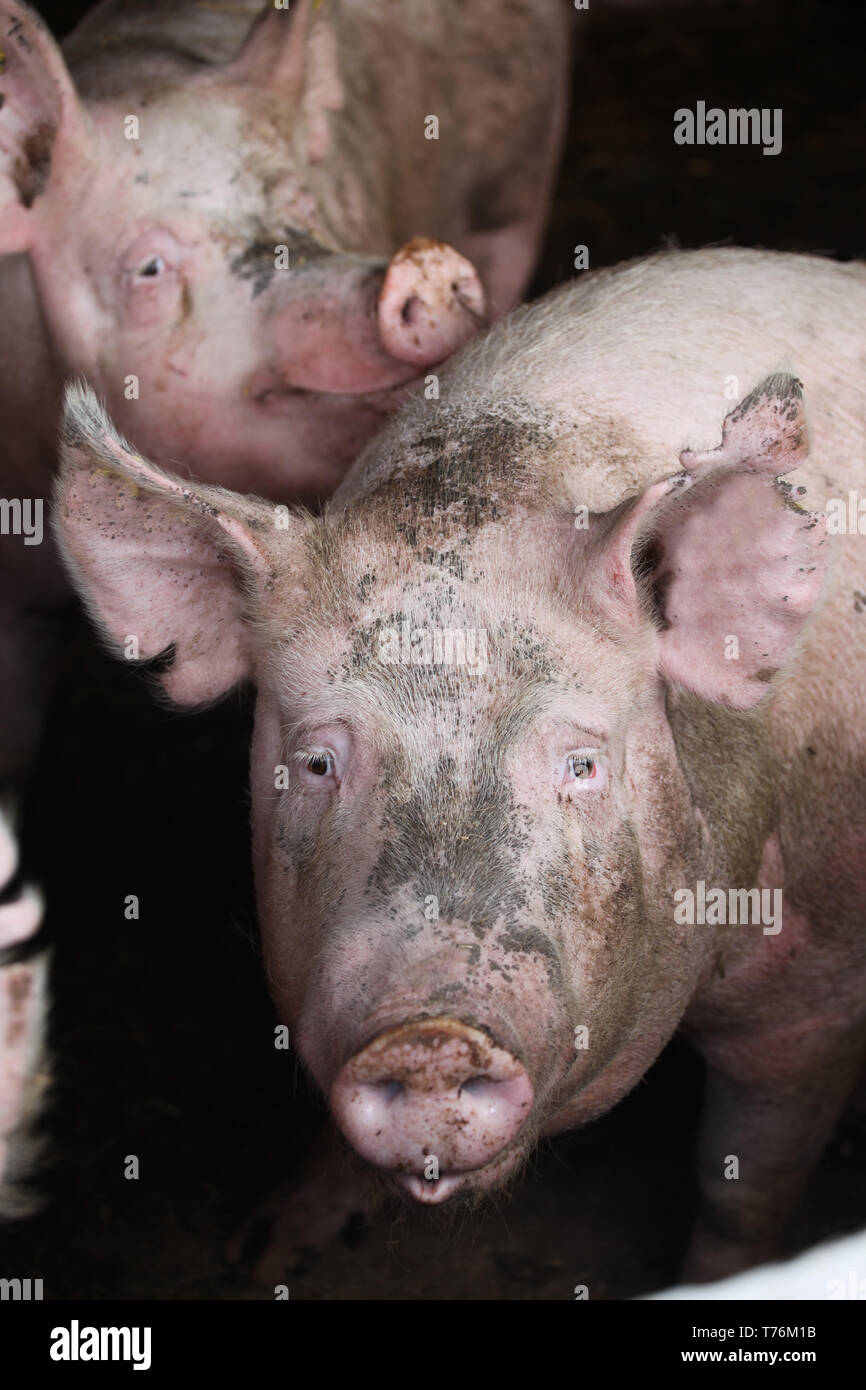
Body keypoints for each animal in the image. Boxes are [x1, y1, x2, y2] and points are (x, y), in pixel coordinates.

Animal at [54, 245, 866, 1284]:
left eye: (582, 765)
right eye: (317, 762)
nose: (430, 1037)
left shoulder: (815, 1000)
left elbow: (741, 1195)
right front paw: (264, 1251)